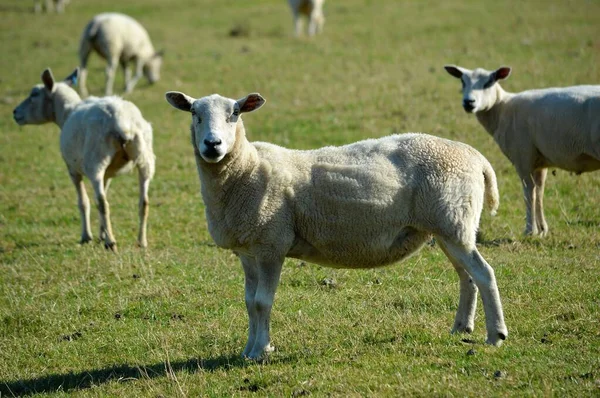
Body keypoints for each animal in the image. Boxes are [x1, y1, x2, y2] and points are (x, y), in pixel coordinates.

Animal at [14, 67, 156, 250]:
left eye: (34, 94)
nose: (15, 112)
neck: (67, 111)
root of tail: (122, 123)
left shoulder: (72, 169)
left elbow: (84, 202)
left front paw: (87, 237)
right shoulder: (108, 173)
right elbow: (102, 195)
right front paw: (102, 233)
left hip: (95, 162)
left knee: (102, 203)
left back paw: (111, 243)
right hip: (145, 160)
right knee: (143, 202)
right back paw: (141, 241)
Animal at [164, 91, 506, 360]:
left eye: (234, 113)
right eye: (194, 113)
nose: (213, 144)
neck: (246, 171)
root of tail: (475, 157)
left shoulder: (272, 244)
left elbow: (262, 302)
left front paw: (261, 351)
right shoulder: (249, 250)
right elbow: (249, 303)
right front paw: (249, 350)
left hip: (453, 222)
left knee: (484, 273)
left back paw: (496, 335)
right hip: (450, 226)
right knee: (467, 276)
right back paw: (461, 327)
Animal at [442, 64, 596, 236]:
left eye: (489, 82)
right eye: (463, 81)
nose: (469, 102)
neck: (502, 109)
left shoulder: (522, 156)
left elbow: (529, 192)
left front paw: (530, 230)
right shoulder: (539, 160)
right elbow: (540, 192)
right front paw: (542, 229)